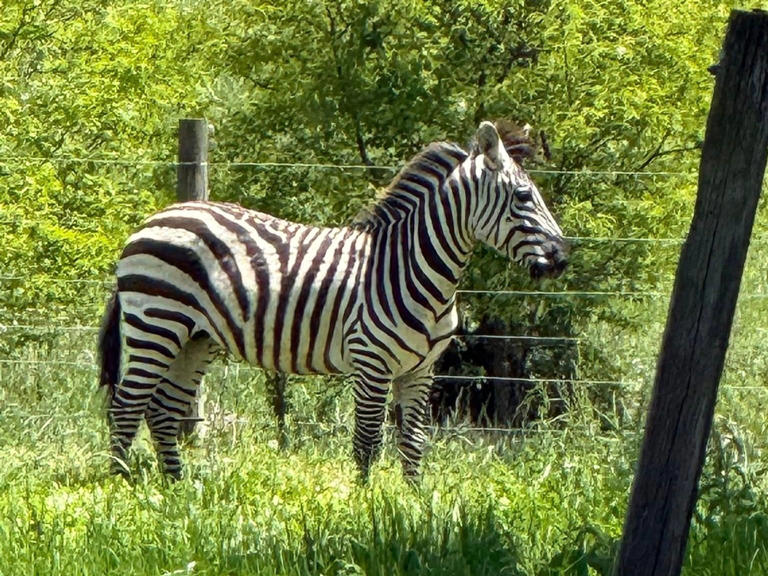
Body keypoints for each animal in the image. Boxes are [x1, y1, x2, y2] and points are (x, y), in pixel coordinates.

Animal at [98, 121, 568, 480]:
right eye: (524, 197)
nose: (563, 258)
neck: (411, 265)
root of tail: (156, 218)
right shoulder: (372, 362)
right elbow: (367, 441)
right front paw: (366, 508)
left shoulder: (421, 369)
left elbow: (414, 442)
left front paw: (416, 507)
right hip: (157, 323)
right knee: (127, 406)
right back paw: (122, 489)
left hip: (195, 338)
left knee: (163, 410)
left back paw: (176, 489)